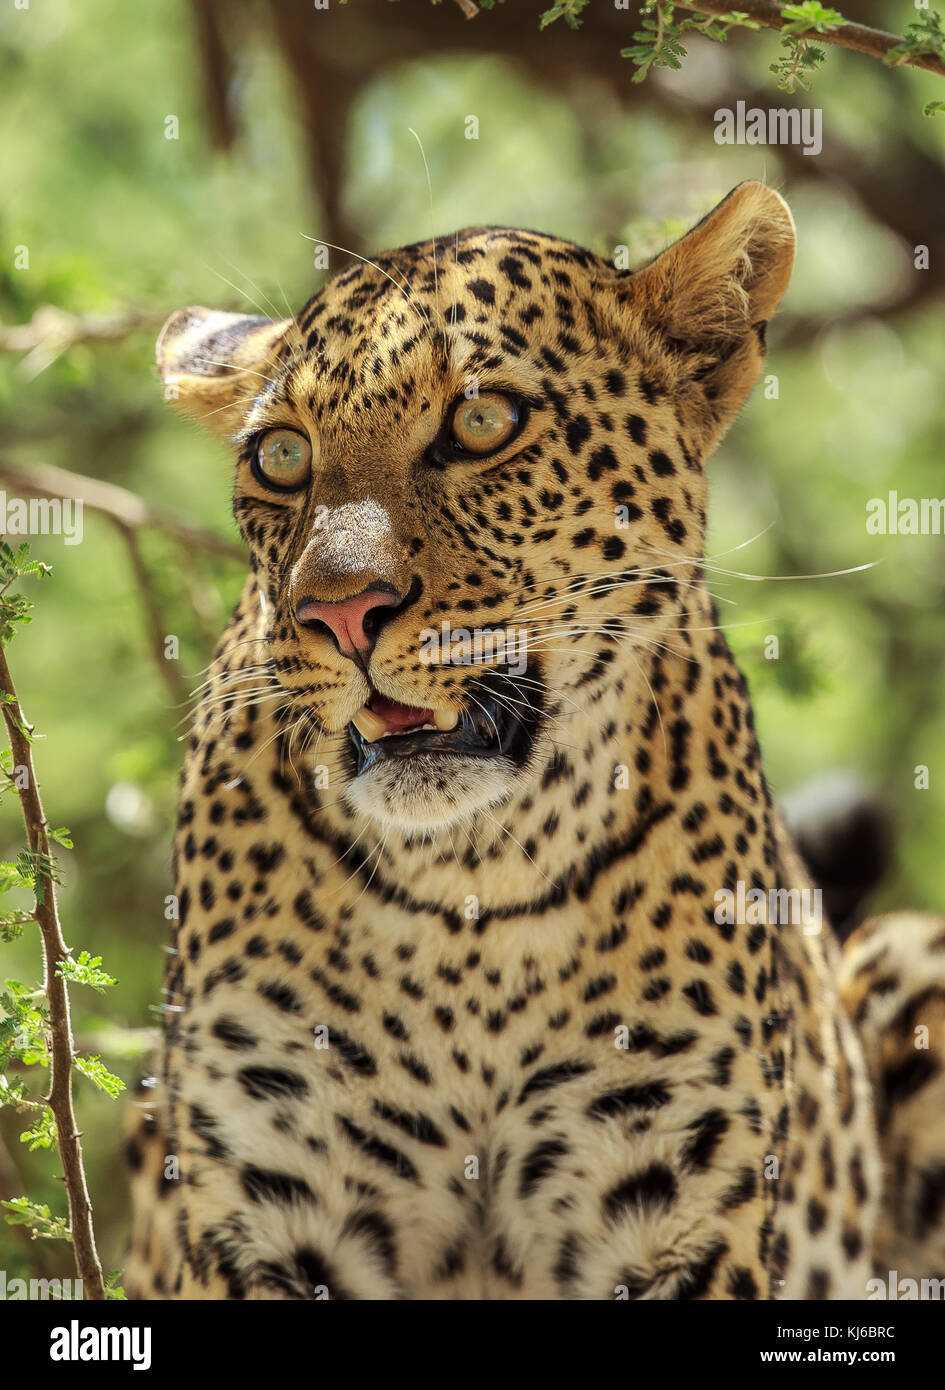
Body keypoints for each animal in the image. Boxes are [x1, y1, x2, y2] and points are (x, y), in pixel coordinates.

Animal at [125, 181, 945, 1300]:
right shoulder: (268, 1213)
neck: (472, 883)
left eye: (482, 422)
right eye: (281, 456)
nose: (339, 612)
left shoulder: (672, 1218)